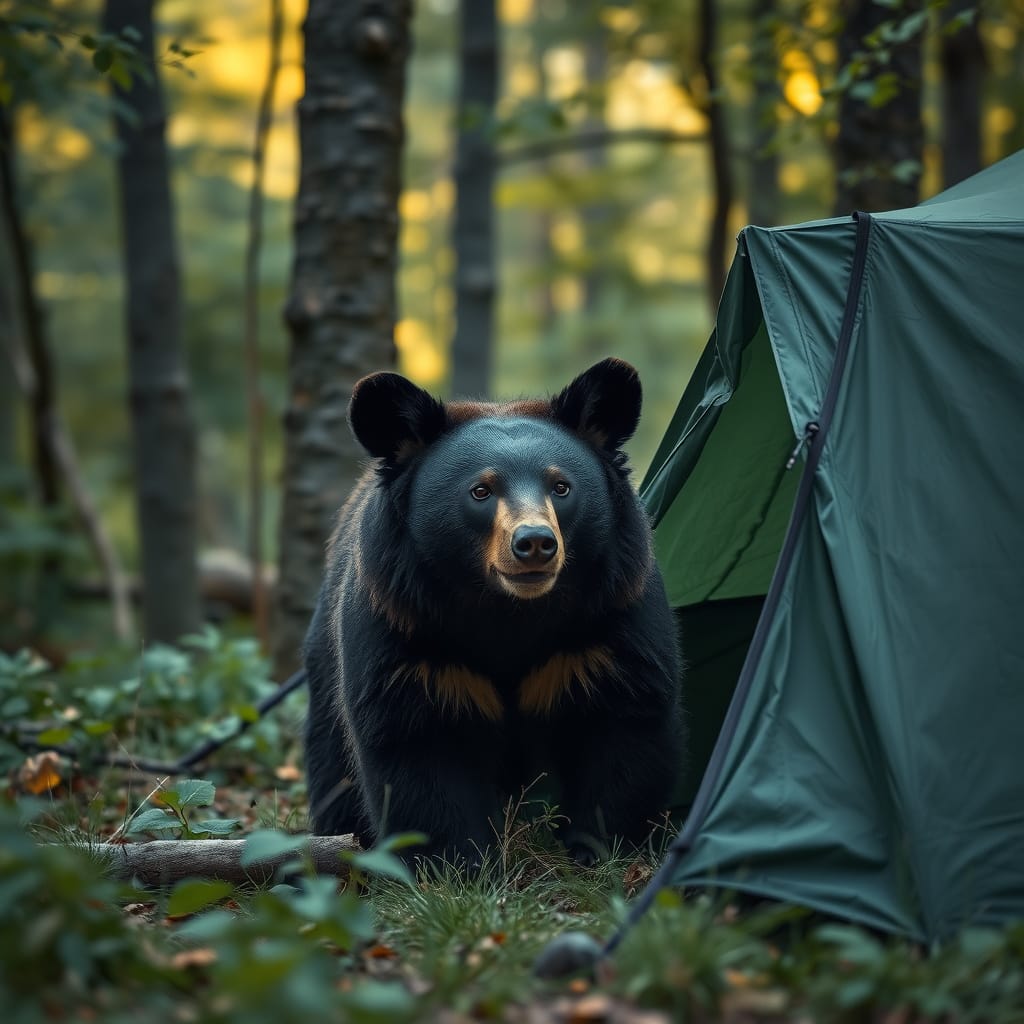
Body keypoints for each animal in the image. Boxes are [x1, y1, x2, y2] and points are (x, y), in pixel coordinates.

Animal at [303, 357, 684, 866]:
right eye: (480, 491)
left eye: (561, 487)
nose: (535, 543)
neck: (508, 611)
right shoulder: (405, 630)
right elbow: (413, 743)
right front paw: (459, 864)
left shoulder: (612, 619)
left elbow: (627, 724)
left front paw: (600, 853)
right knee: (331, 762)